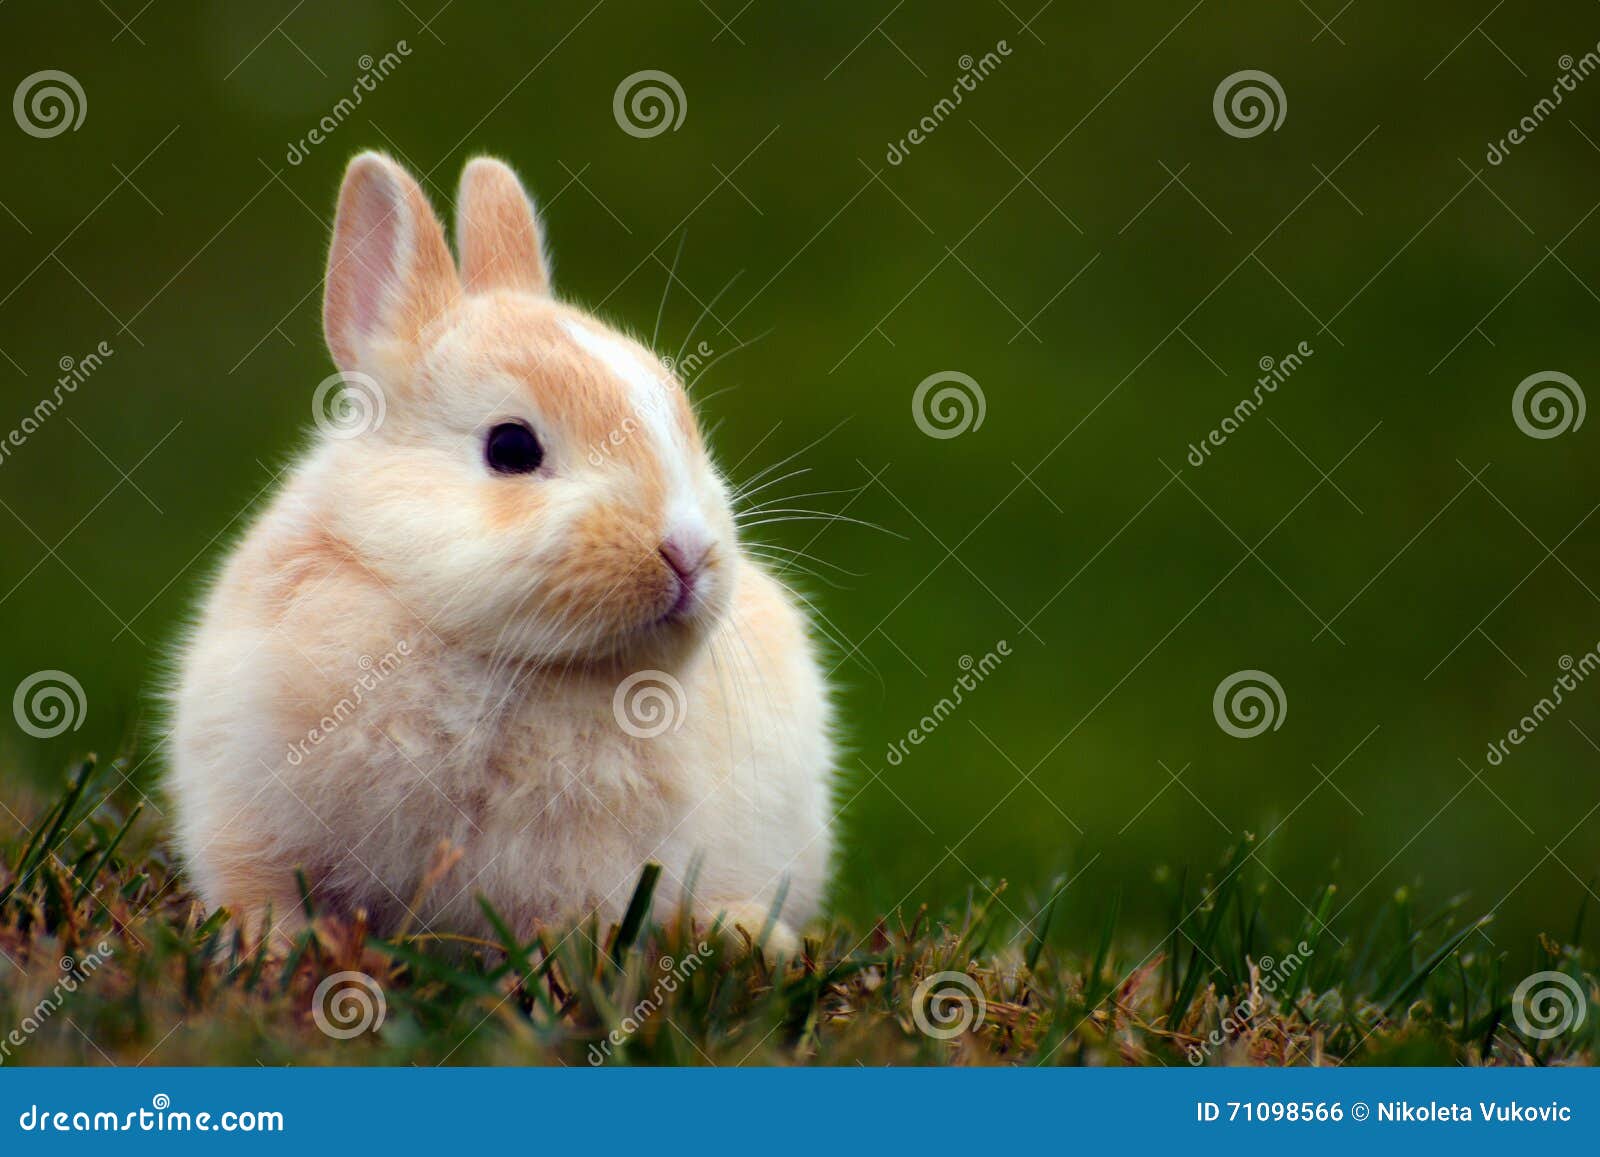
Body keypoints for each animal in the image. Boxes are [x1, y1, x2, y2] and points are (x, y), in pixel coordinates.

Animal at [166, 152, 836, 955]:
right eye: (511, 447)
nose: (686, 551)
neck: (502, 659)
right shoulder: (248, 810)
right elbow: (260, 888)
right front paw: (277, 944)